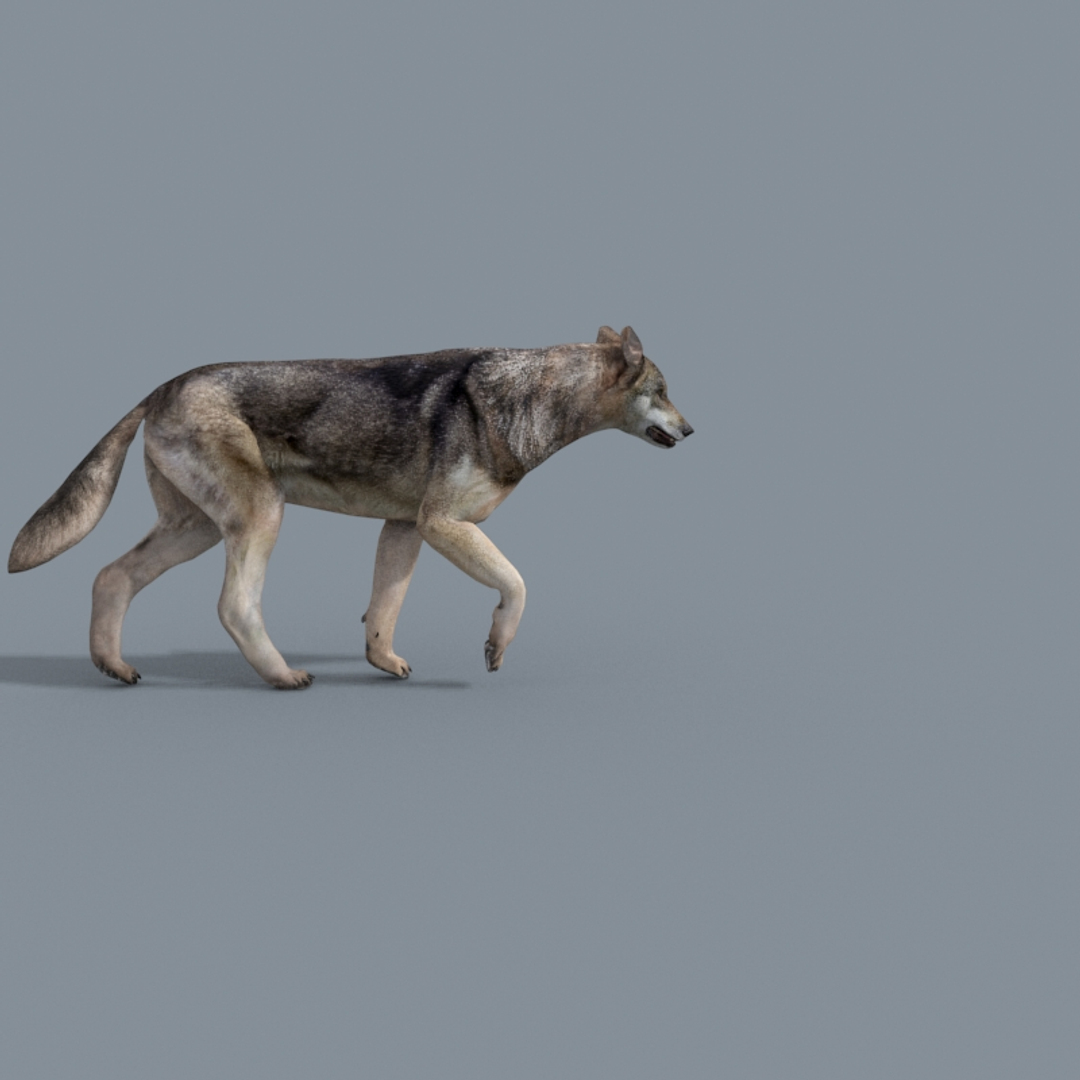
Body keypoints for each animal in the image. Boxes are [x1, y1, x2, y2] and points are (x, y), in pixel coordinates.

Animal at [9, 326, 693, 688]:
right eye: (662, 391)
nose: (692, 431)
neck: (528, 401)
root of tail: (159, 388)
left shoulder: (404, 528)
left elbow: (383, 612)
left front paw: (383, 663)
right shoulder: (442, 525)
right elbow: (518, 585)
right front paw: (496, 647)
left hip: (195, 530)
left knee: (110, 576)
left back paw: (114, 667)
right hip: (258, 518)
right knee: (233, 605)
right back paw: (282, 677)